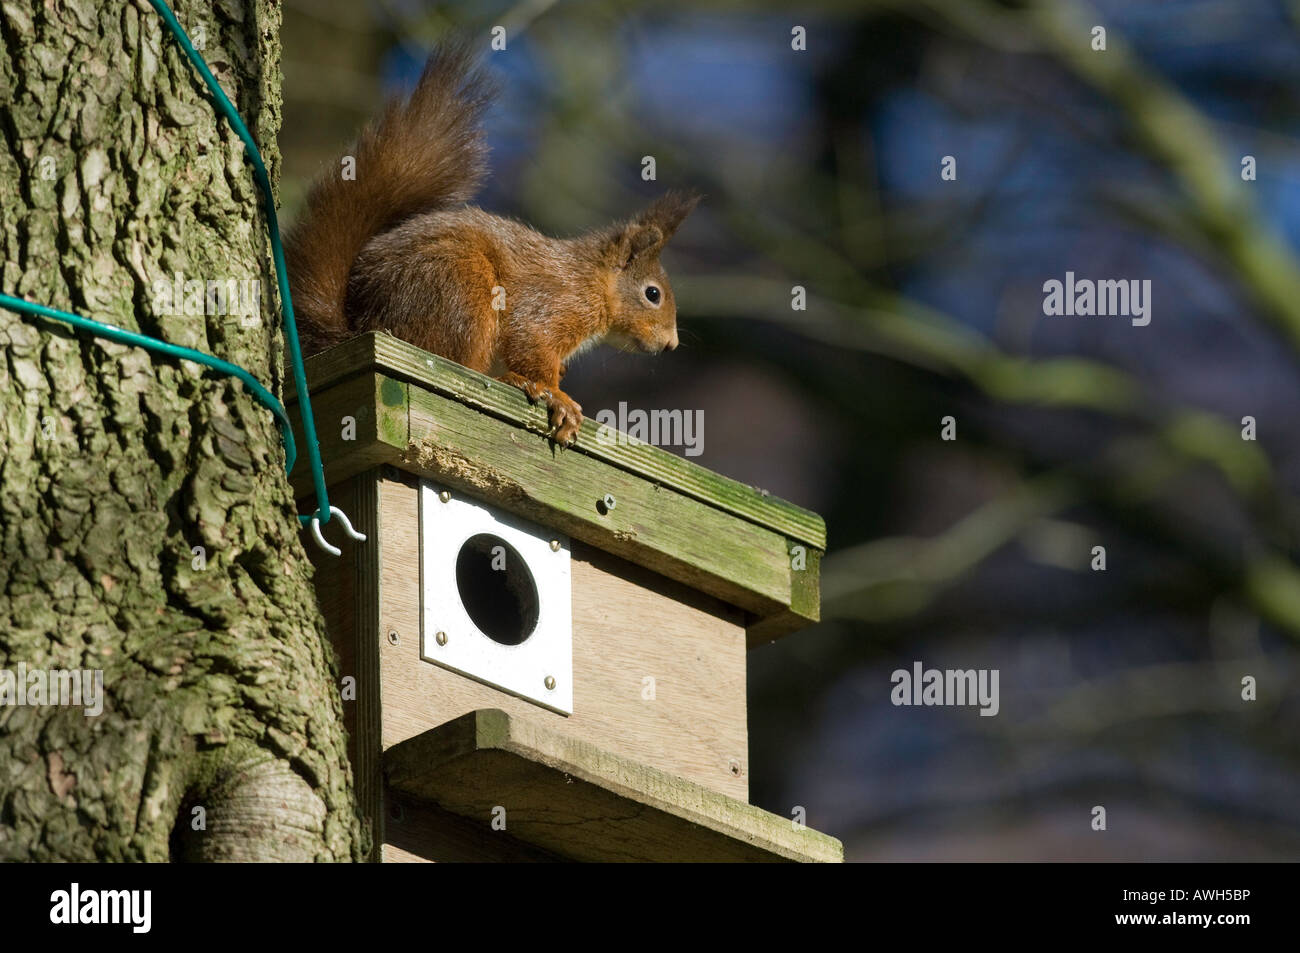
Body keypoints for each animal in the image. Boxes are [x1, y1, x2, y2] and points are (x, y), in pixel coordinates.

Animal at [284, 42, 699, 445]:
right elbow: (531, 341)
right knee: (458, 363)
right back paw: (509, 380)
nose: (671, 344)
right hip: (461, 288)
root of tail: (364, 324)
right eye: (652, 294)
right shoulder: (554, 302)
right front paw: (558, 397)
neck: (593, 283)